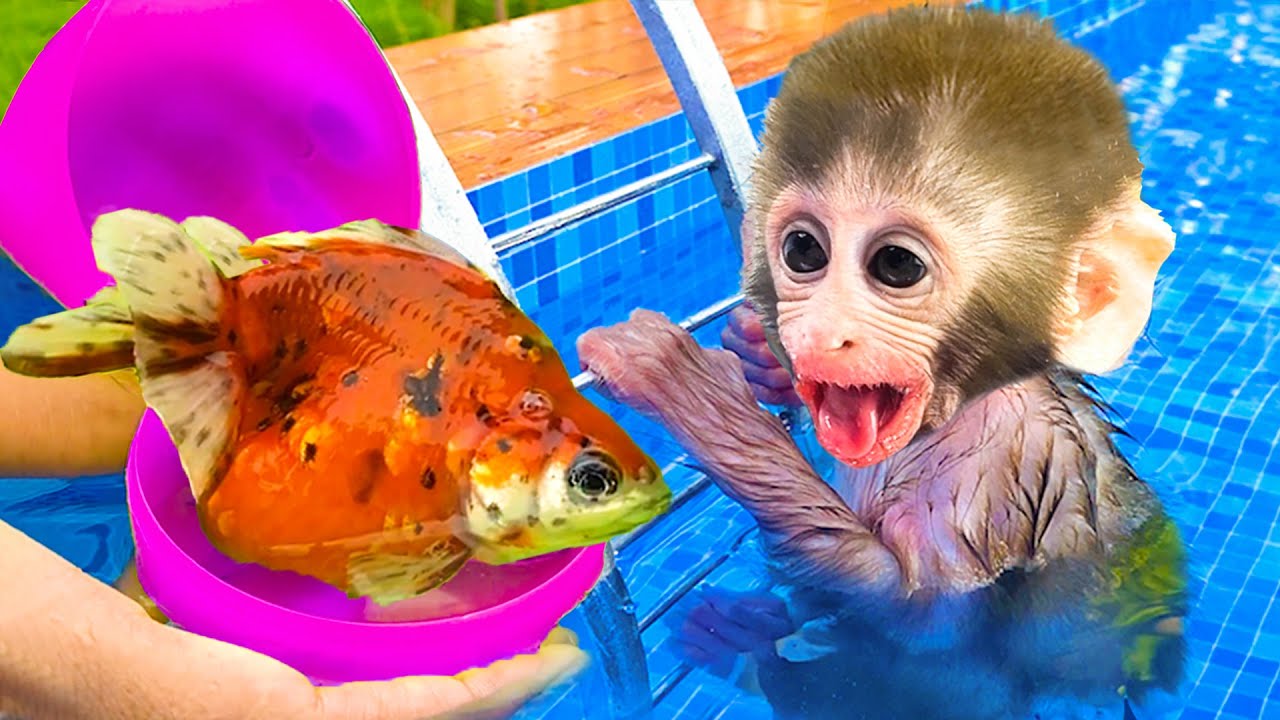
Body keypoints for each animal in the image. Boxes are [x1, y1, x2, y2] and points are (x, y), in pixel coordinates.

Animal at [578, 6, 1188, 720]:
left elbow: (916, 613)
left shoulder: (995, 470)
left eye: (896, 265)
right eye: (804, 251)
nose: (820, 332)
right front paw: (755, 352)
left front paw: (693, 391)